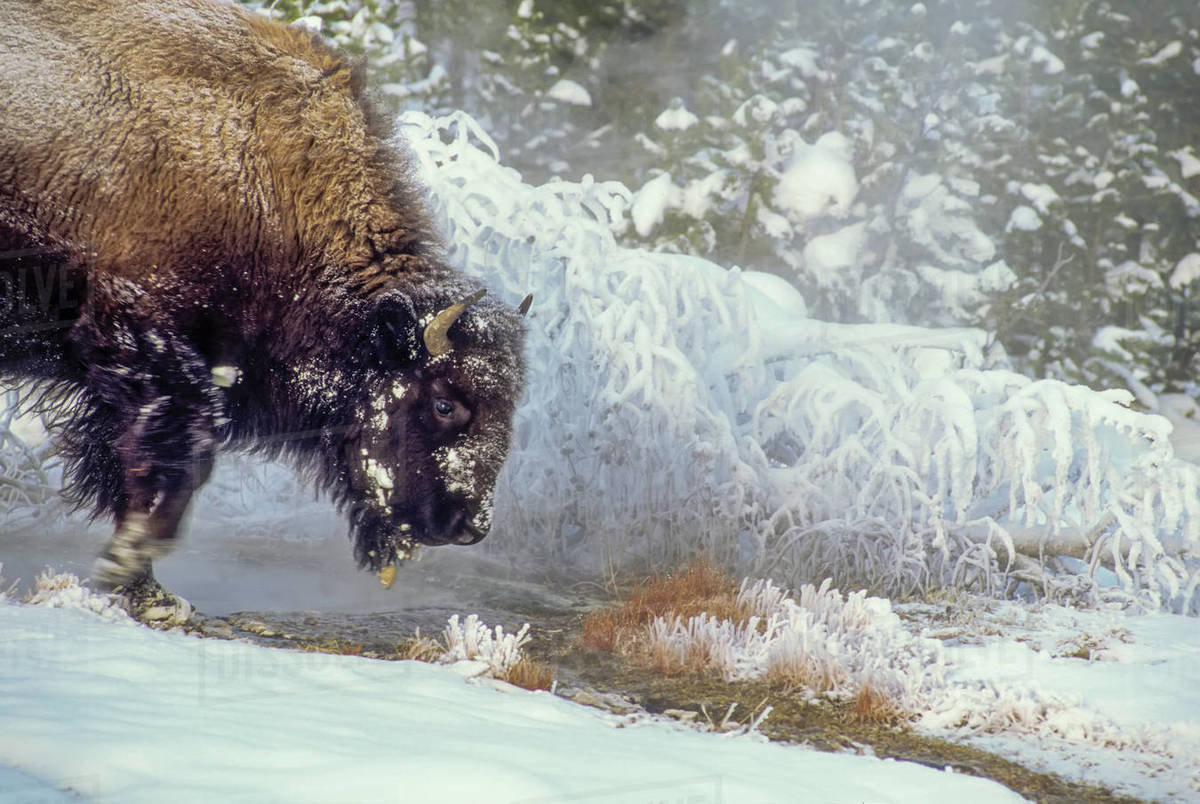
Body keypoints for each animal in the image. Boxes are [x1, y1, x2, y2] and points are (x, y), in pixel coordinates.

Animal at [0, 0, 529, 621]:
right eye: (445, 404)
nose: (469, 524)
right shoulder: (140, 334)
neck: (272, 185)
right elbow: (182, 452)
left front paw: (147, 590)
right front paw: (131, 568)